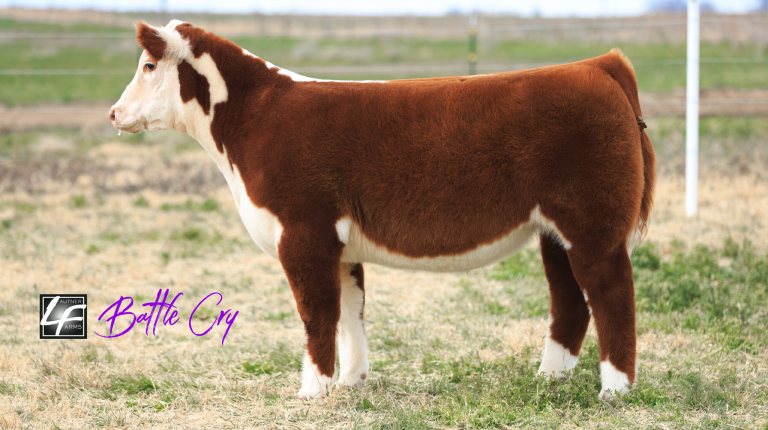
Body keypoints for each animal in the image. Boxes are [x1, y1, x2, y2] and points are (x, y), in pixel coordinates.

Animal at [109, 20, 656, 402]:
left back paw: (614, 389)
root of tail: (597, 65)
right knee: (570, 301)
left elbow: (316, 313)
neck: (253, 119)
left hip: (593, 225)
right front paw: (350, 381)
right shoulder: (339, 243)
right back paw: (548, 378)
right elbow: (350, 310)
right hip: (553, 231)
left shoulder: (303, 232)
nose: (114, 113)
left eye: (148, 66)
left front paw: (312, 391)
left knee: (612, 294)